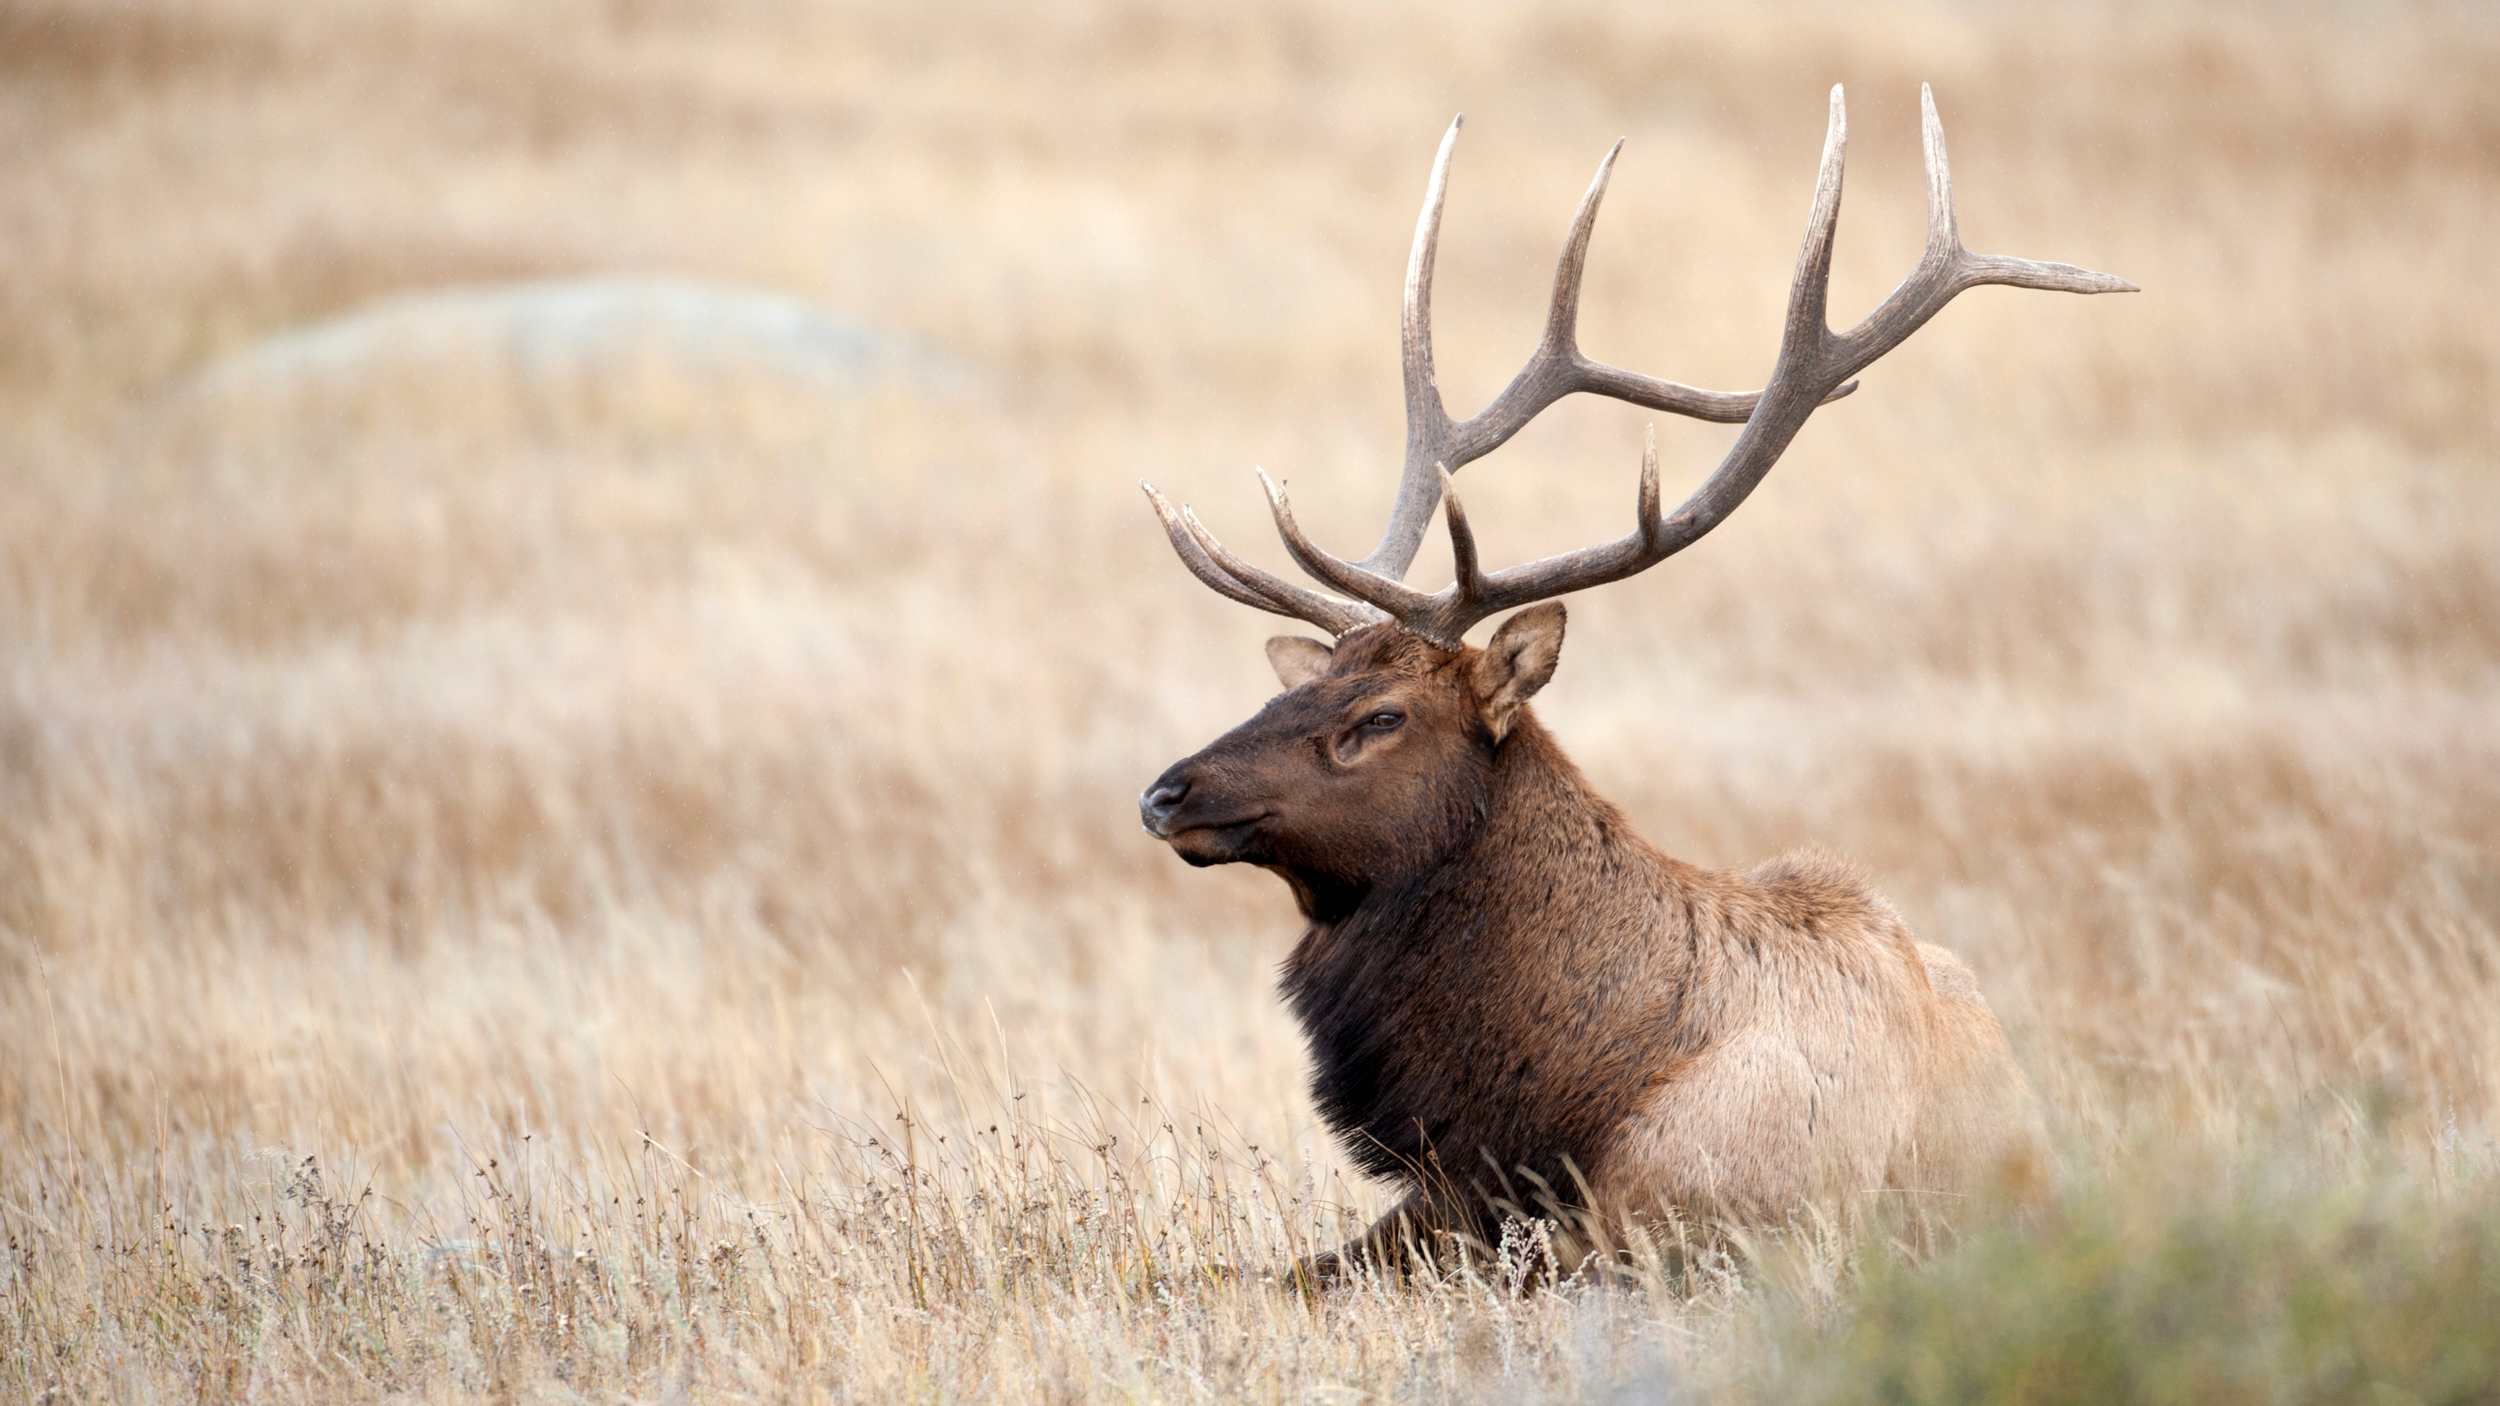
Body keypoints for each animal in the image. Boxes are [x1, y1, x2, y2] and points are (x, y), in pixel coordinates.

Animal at [1136, 87, 2131, 1280]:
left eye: (1380, 716)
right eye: (1299, 685)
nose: (1167, 791)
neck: (1549, 1099)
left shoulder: (1691, 1228)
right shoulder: (1435, 1207)